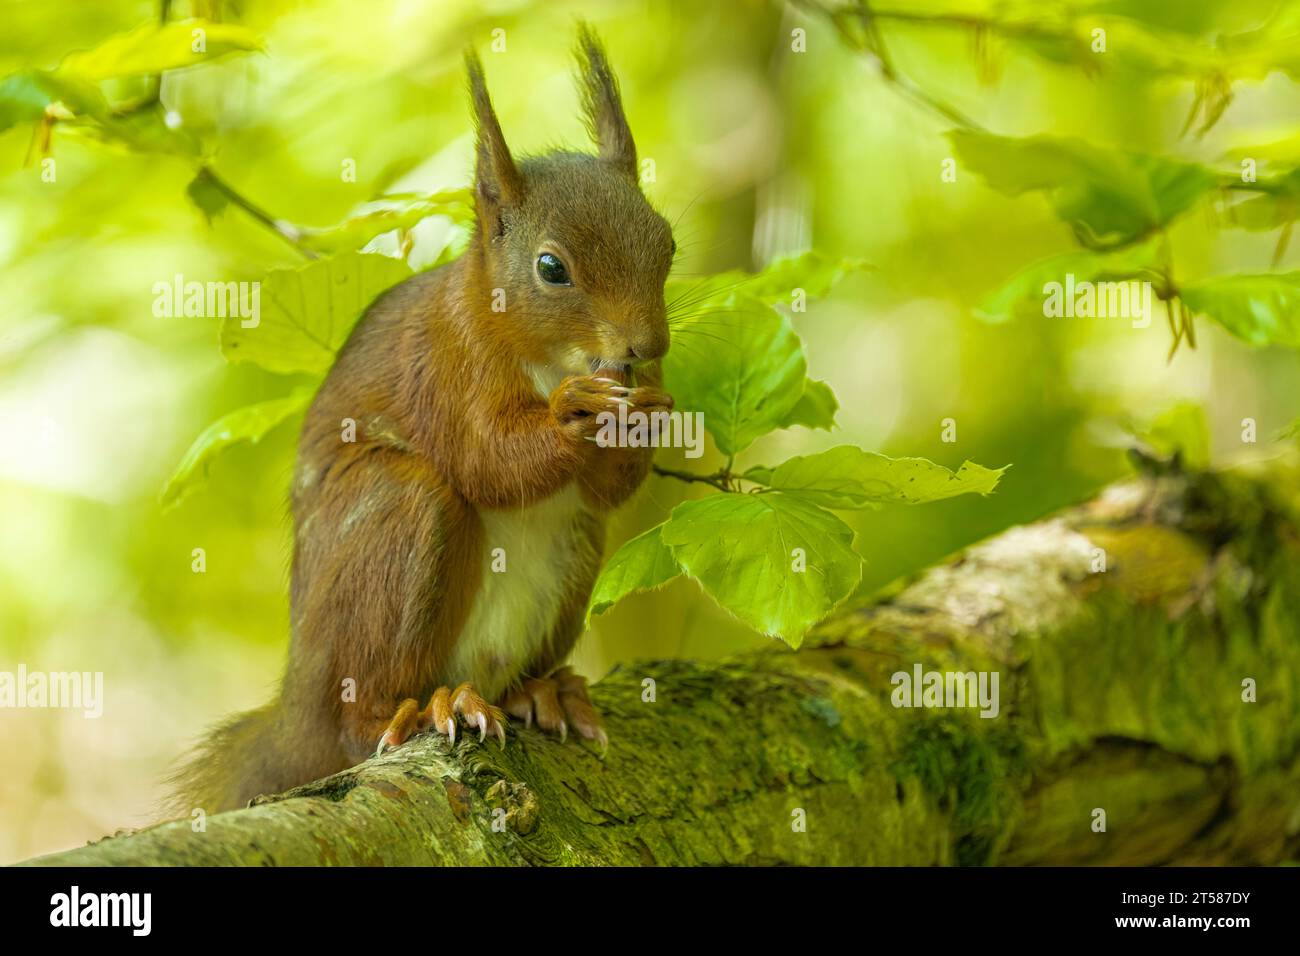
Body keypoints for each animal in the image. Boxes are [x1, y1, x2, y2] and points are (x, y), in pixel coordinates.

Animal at [170, 24, 675, 814]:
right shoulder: (444, 364)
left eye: (668, 244)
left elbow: (606, 489)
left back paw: (542, 692)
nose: (644, 348)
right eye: (552, 268)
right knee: (362, 702)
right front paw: (577, 411)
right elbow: (485, 459)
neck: (547, 356)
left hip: (576, 551)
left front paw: (652, 418)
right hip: (390, 520)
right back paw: (420, 709)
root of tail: (295, 711)